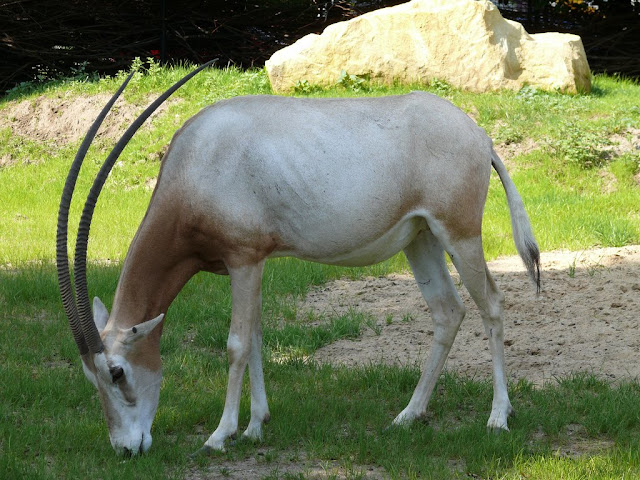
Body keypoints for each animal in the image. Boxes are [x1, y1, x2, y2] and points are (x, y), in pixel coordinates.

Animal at [57, 63, 540, 456]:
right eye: (91, 378)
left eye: (117, 372)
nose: (126, 449)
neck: (198, 162)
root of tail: (479, 136)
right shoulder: (252, 263)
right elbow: (254, 337)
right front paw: (255, 427)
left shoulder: (244, 258)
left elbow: (236, 344)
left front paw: (220, 435)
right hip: (420, 239)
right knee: (448, 311)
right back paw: (408, 415)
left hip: (460, 234)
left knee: (491, 305)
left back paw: (498, 417)